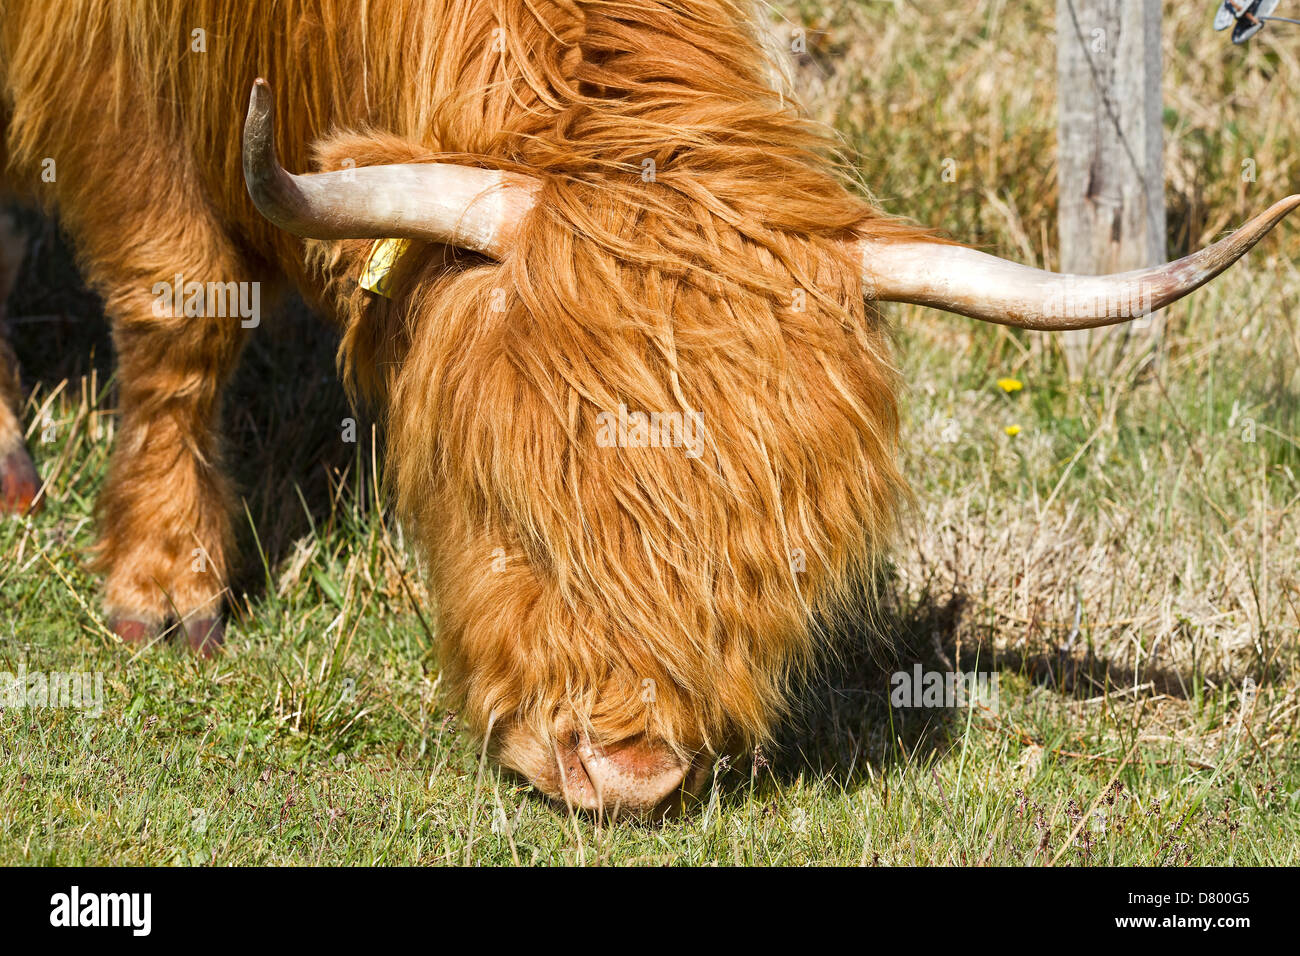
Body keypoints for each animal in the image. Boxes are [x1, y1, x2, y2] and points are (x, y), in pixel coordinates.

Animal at [0, 1, 1294, 815]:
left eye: (773, 552)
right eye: (510, 510)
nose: (619, 767)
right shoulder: (111, 73)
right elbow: (183, 302)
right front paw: (164, 584)